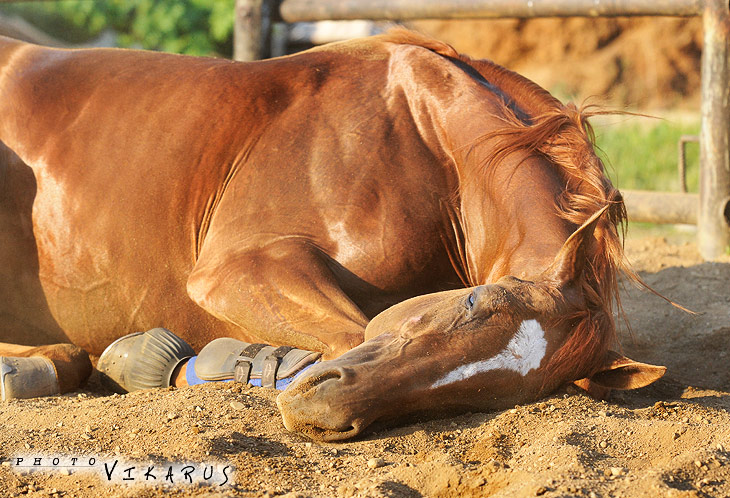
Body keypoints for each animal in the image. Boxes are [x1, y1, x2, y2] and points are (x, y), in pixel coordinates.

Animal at [0, 29, 664, 440]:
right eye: (476, 302)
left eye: (487, 399)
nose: (323, 412)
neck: (424, 138)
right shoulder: (236, 270)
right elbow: (352, 333)